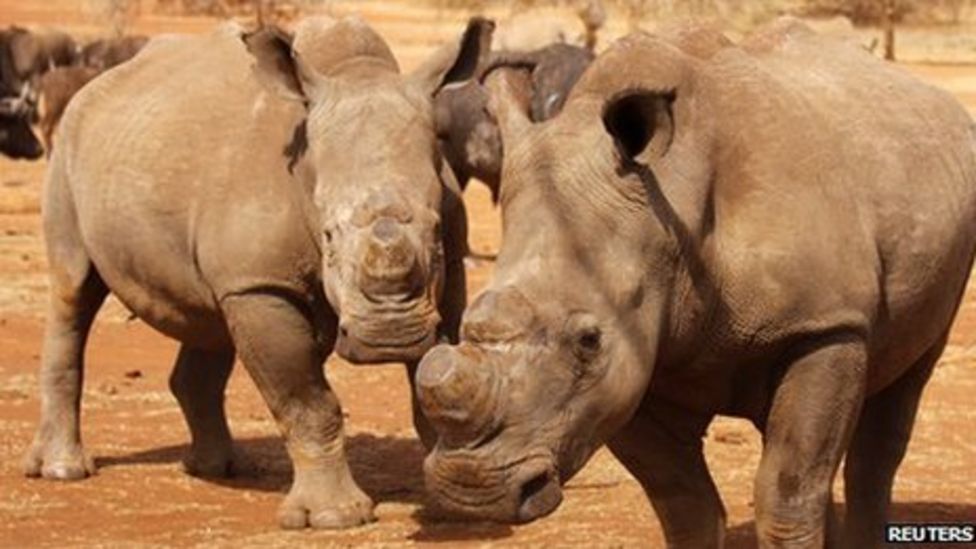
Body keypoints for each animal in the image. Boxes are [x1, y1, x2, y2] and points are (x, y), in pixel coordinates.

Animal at [25, 16, 491, 530]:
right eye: (328, 237)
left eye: (434, 232)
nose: (391, 335)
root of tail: (97, 84)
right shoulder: (259, 285)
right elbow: (307, 402)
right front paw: (334, 518)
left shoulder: (449, 272)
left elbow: (432, 385)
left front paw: (454, 504)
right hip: (70, 149)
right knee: (73, 291)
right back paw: (64, 470)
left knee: (205, 319)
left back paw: (218, 468)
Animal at [416, 20, 976, 547]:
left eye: (588, 341)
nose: (471, 489)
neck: (671, 203)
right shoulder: (636, 357)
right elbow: (685, 504)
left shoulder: (827, 325)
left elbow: (788, 492)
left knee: (897, 398)